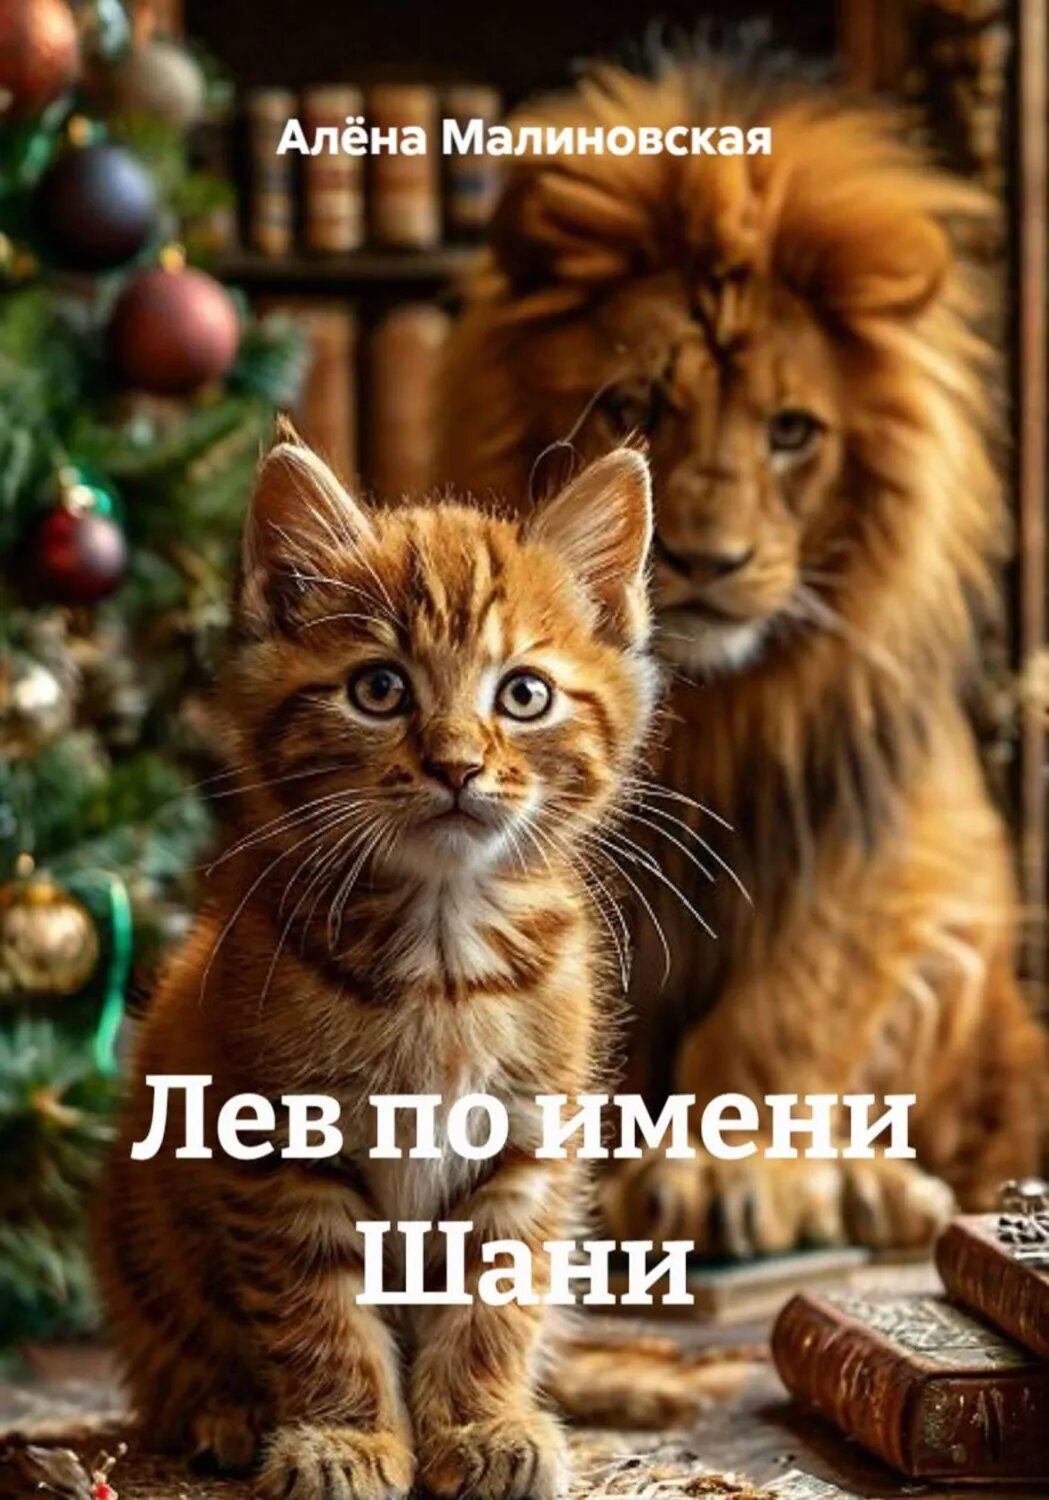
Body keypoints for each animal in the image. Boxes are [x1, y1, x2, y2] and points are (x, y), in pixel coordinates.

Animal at [434, 59, 1048, 1254]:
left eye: (791, 431)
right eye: (633, 408)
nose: (705, 560)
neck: (709, 707)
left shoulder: (863, 835)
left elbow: (791, 1003)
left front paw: (732, 1171)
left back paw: (875, 1188)